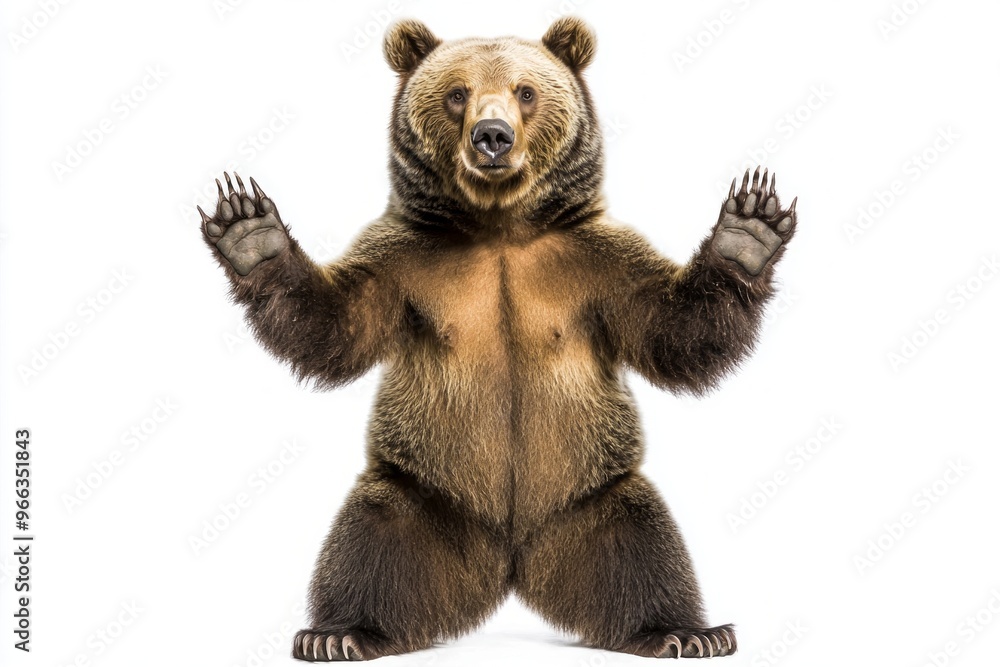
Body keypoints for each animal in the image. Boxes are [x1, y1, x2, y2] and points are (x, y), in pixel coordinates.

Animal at [198, 17, 797, 662]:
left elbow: (671, 330)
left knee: (644, 545)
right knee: (370, 539)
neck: (500, 225)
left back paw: (683, 630)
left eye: (526, 91)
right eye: (457, 93)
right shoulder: (404, 261)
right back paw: (339, 632)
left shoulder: (596, 263)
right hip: (419, 490)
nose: (493, 136)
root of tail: (511, 564)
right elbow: (338, 326)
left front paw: (747, 231)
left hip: (595, 496)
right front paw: (251, 232)